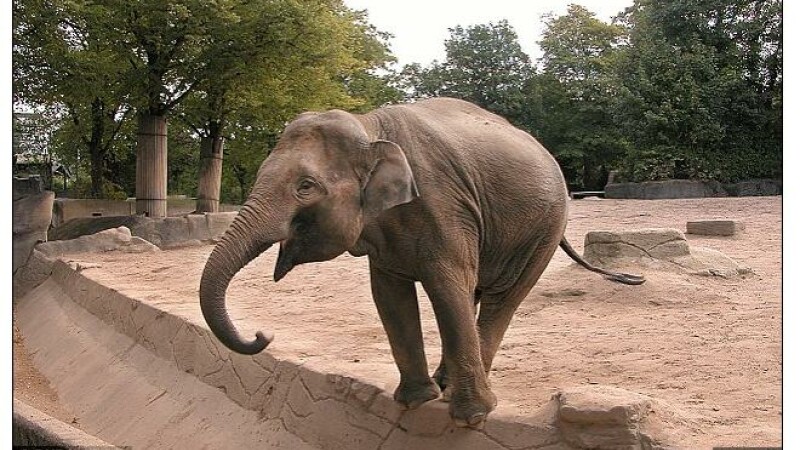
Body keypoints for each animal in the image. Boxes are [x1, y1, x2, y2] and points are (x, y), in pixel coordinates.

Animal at [199, 97, 644, 428]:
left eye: (305, 187)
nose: (262, 335)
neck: (370, 127)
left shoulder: (443, 206)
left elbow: (446, 287)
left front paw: (470, 417)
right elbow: (389, 296)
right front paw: (415, 402)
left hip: (543, 229)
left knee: (500, 298)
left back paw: (475, 395)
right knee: (474, 294)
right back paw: (447, 384)